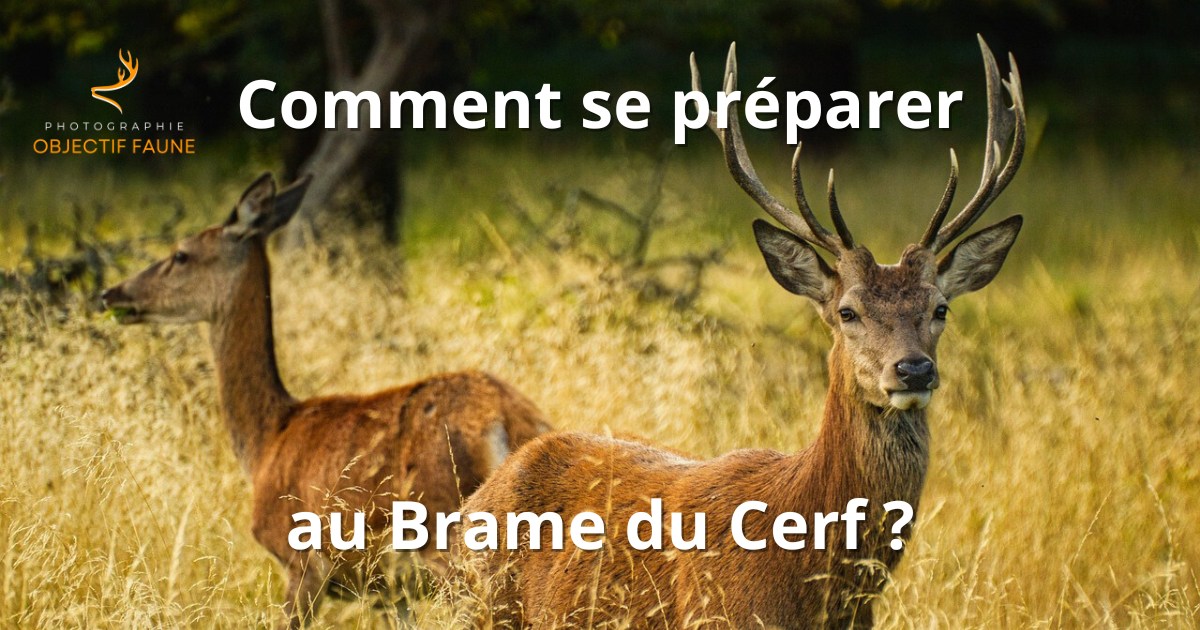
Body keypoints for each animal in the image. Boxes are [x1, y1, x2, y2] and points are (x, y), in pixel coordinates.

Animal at [99, 173, 552, 628]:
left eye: (181, 254)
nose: (111, 293)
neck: (267, 440)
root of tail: (506, 420)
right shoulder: (390, 593)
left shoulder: (300, 563)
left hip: (449, 539)